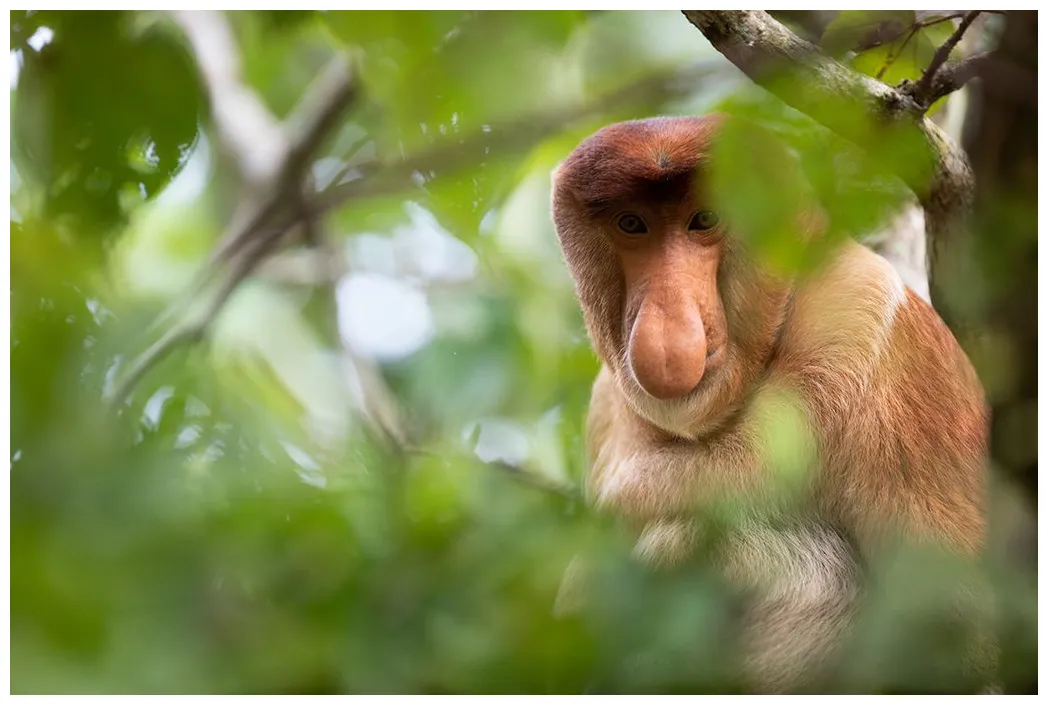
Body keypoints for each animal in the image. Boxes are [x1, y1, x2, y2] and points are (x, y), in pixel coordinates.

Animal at [550, 115, 991, 692]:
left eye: (704, 219)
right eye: (631, 224)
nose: (668, 328)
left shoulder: (862, 315)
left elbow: (951, 633)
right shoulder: (607, 403)